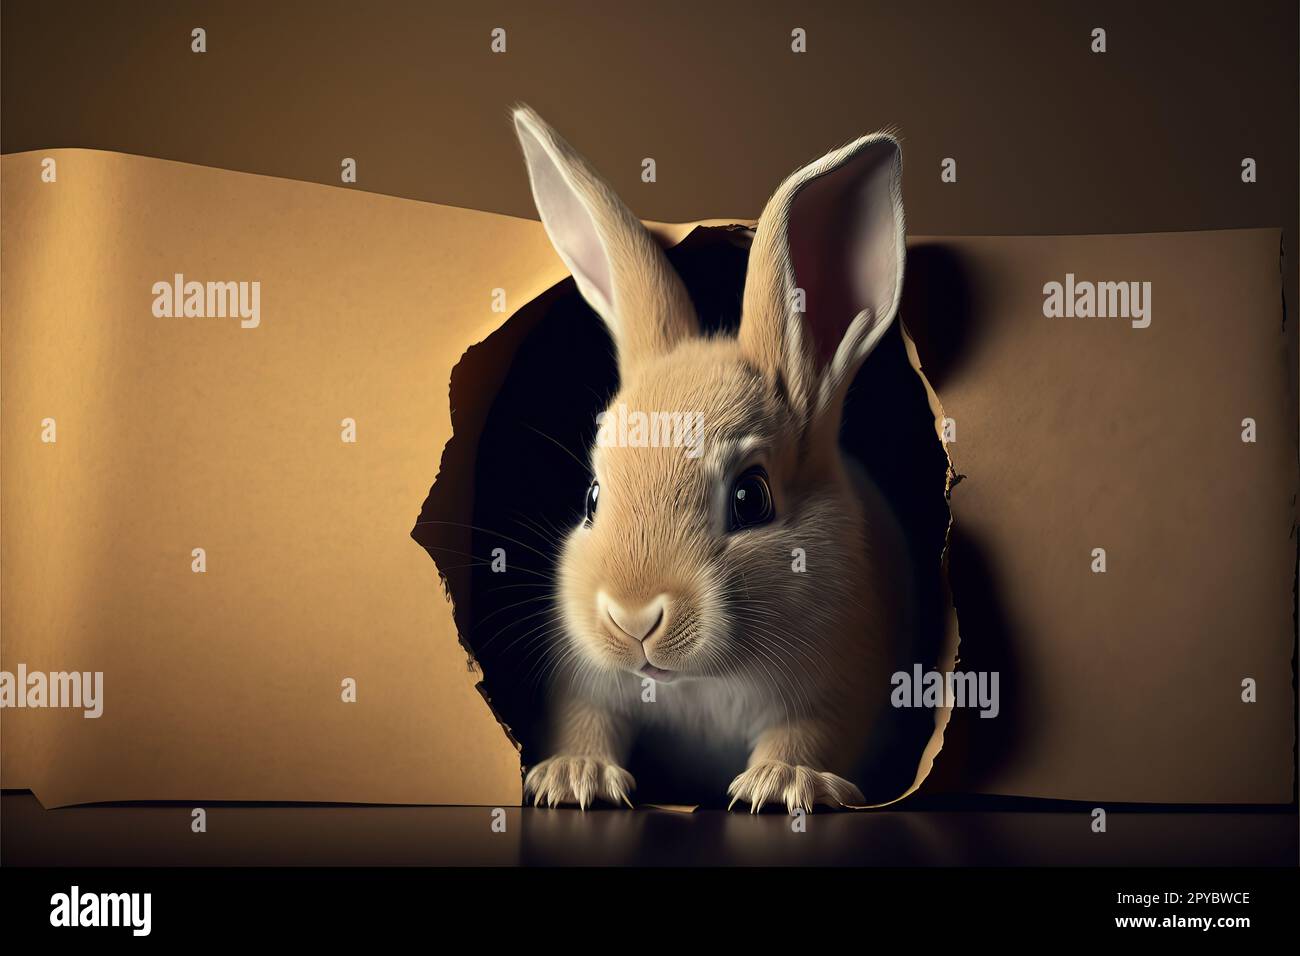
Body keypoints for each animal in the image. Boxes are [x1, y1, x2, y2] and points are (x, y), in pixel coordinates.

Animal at [513, 105, 909, 812]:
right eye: (592, 497)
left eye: (752, 497)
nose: (633, 616)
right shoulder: (586, 681)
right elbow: (586, 717)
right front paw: (574, 777)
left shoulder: (840, 688)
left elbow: (809, 735)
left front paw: (782, 785)